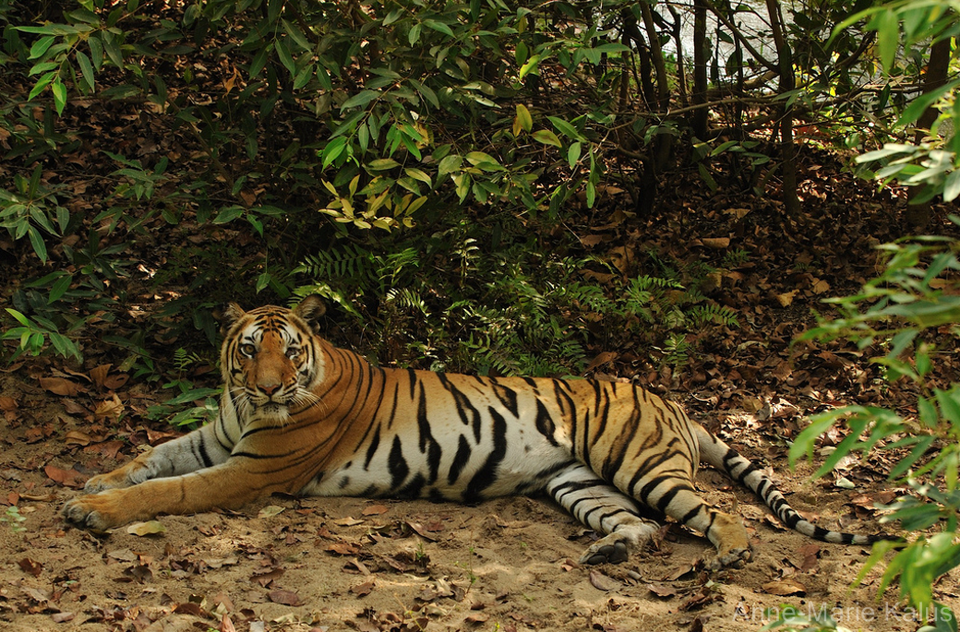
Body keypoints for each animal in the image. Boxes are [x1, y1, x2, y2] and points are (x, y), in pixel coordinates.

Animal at [63, 295, 891, 569]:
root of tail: (669, 398)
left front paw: (94, 510)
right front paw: (96, 480)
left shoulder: (251, 467)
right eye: (246, 349)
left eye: (288, 350)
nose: (267, 386)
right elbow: (153, 456)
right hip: (578, 483)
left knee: (716, 515)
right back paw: (608, 552)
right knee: (641, 526)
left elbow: (170, 490)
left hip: (642, 465)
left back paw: (728, 558)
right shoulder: (219, 436)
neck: (248, 408)